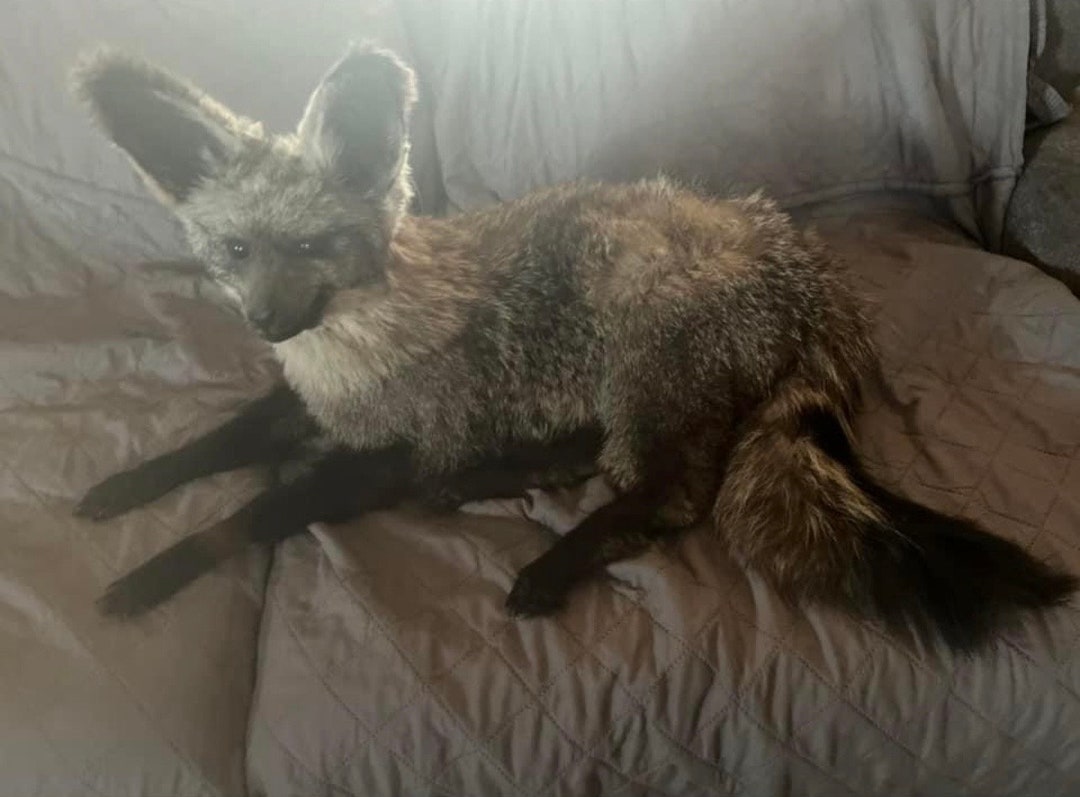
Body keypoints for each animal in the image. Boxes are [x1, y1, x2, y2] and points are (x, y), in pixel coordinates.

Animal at [69, 42, 1075, 651]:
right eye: (236, 250)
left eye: (315, 248)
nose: (267, 324)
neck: (353, 359)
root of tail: (809, 278)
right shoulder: (308, 407)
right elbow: (215, 442)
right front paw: (127, 484)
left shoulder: (391, 451)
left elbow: (249, 512)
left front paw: (151, 571)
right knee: (605, 463)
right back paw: (507, 474)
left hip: (642, 358)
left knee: (670, 495)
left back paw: (547, 556)